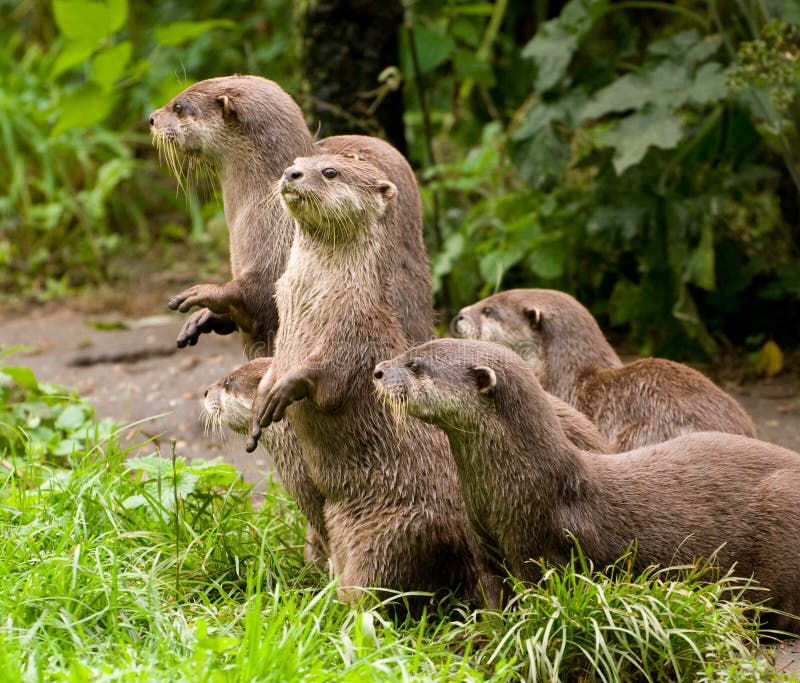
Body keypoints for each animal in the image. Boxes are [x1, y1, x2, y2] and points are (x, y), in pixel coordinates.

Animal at [149, 75, 433, 357]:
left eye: (179, 107)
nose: (151, 118)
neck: (256, 204)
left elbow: (261, 294)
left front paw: (206, 293)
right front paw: (205, 318)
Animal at [245, 155, 497, 608]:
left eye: (329, 172)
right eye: (297, 163)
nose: (291, 174)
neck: (312, 302)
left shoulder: (352, 335)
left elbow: (323, 376)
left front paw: (283, 393)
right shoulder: (282, 331)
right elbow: (271, 369)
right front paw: (262, 401)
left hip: (389, 535)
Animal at [373, 338, 800, 633]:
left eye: (416, 365)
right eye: (409, 350)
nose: (377, 370)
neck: (514, 492)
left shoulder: (540, 551)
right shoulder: (485, 550)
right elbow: (495, 602)